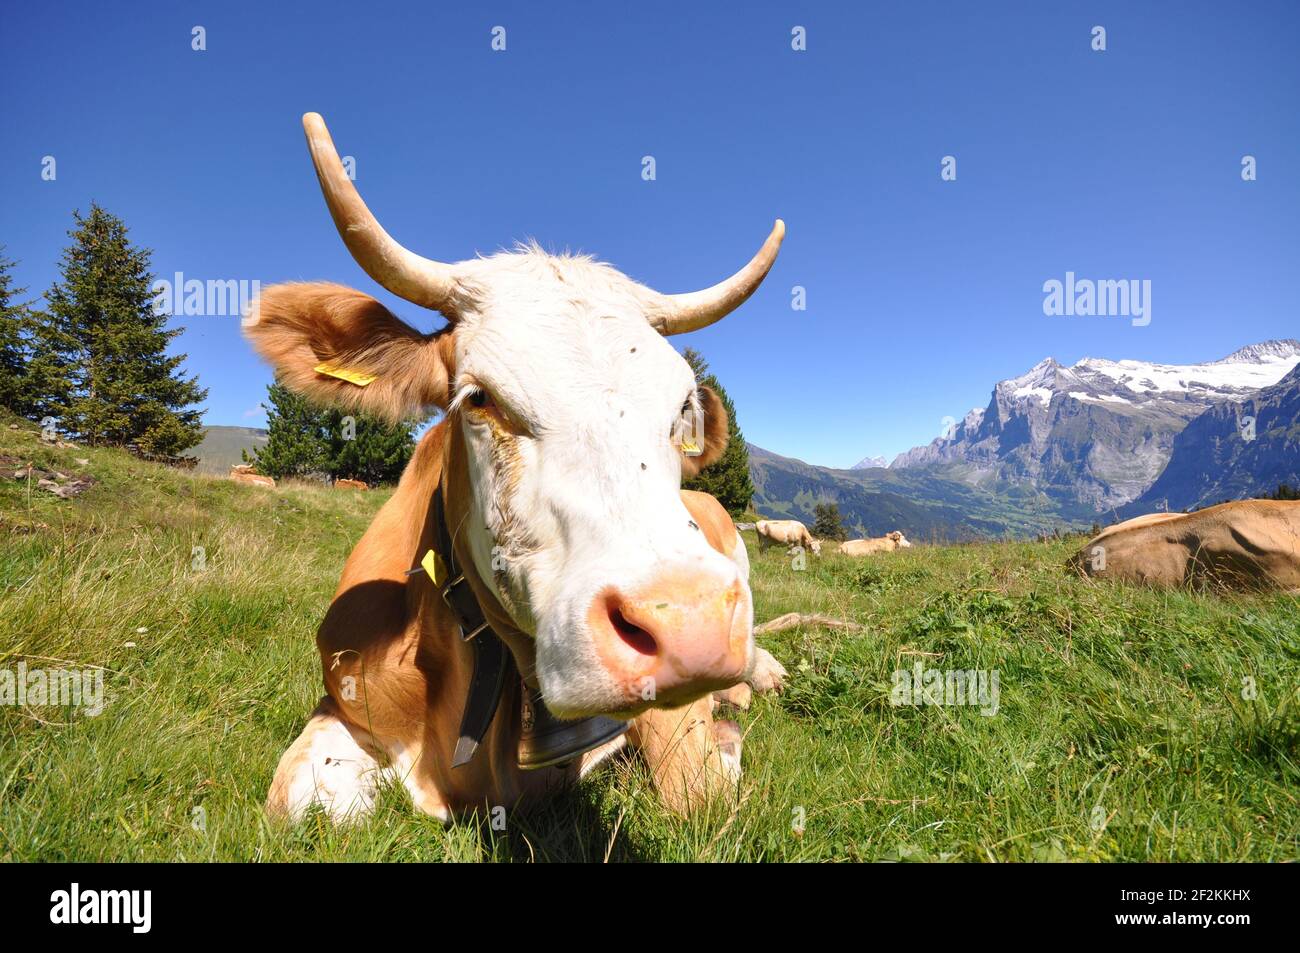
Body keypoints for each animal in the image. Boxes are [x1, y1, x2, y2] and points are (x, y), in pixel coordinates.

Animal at [251, 114, 787, 822]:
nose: (690, 624)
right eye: (479, 398)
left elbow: (694, 791)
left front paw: (727, 732)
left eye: (681, 409)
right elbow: (297, 799)